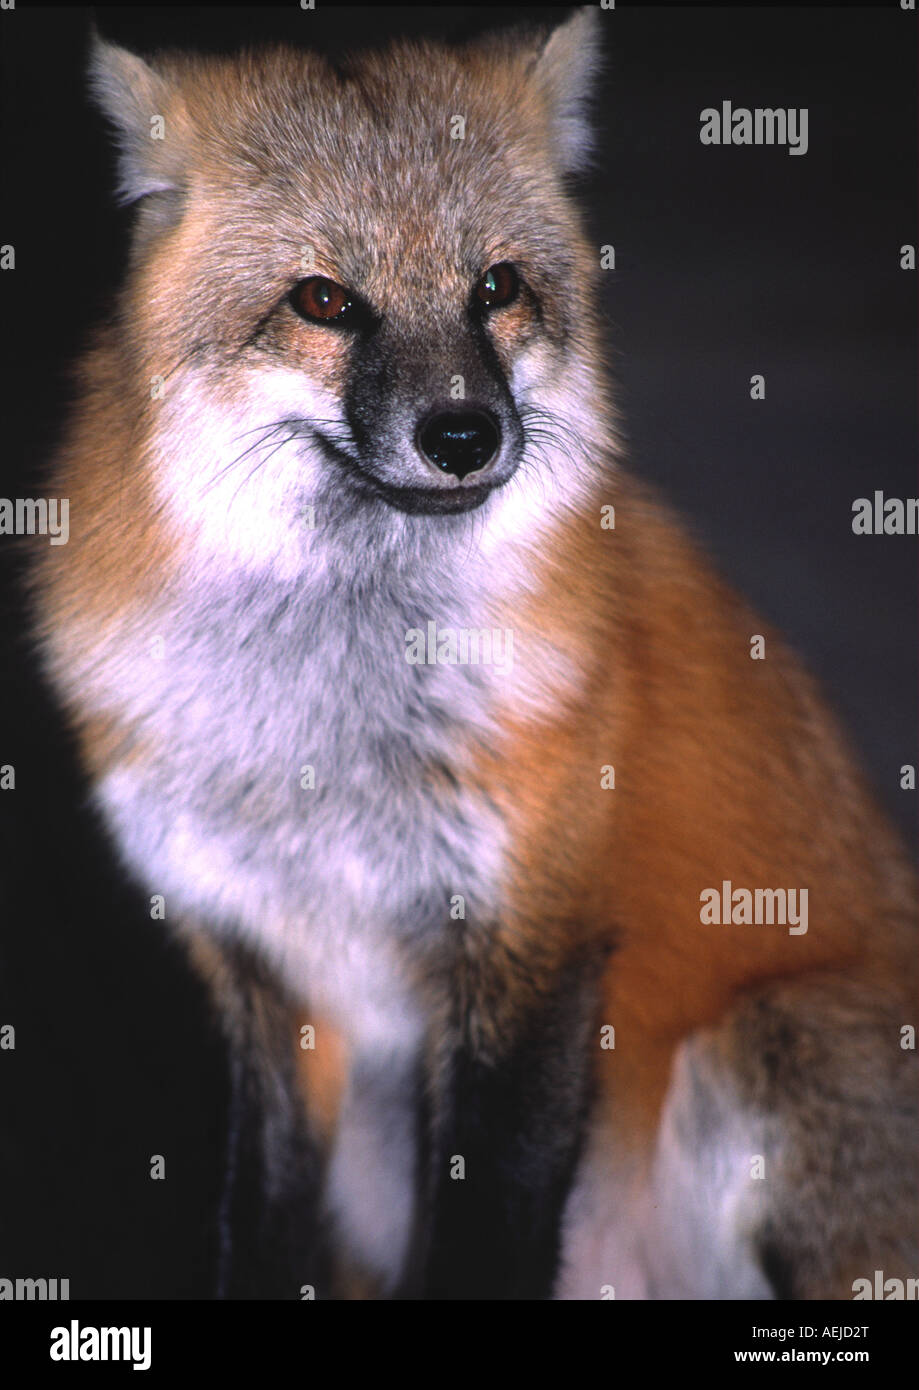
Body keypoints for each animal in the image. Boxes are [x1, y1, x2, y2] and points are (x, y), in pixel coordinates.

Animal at [29, 8, 917, 1300]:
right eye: (323, 300)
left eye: (495, 287)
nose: (464, 434)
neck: (325, 738)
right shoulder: (270, 971)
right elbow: (258, 1228)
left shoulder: (537, 944)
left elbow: (488, 1224)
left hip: (767, 1045)